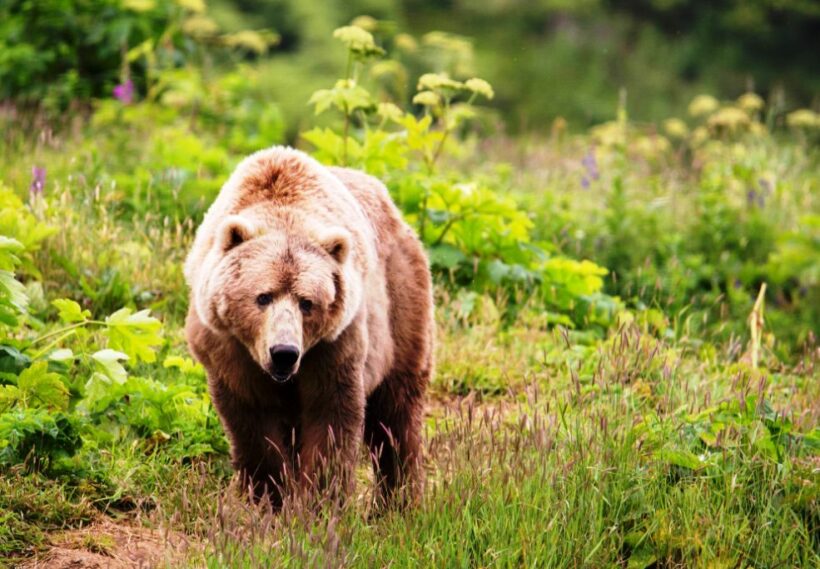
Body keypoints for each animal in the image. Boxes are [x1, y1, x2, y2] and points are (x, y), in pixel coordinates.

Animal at [184, 146, 434, 508]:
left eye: (307, 302)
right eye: (263, 297)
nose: (284, 353)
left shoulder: (335, 346)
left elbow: (331, 418)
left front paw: (317, 499)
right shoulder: (227, 348)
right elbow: (251, 421)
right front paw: (270, 495)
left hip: (401, 301)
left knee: (396, 412)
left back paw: (398, 499)